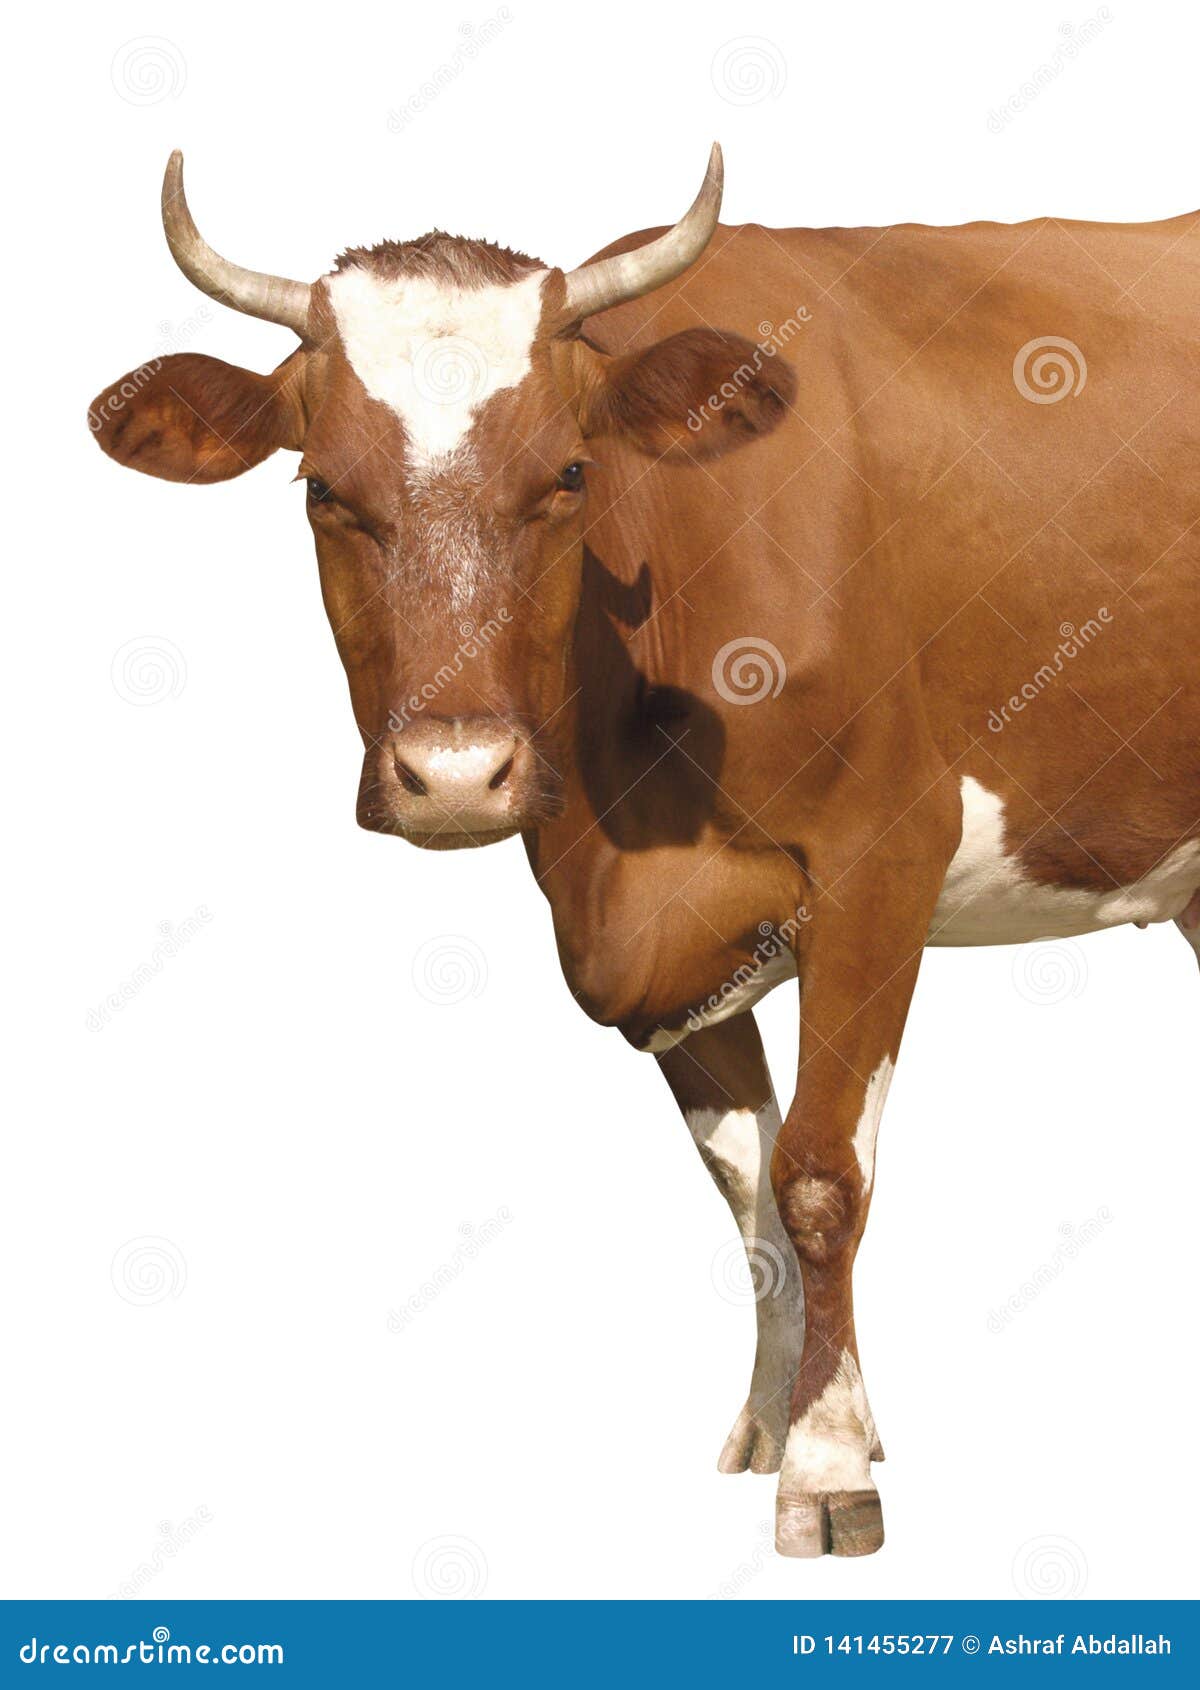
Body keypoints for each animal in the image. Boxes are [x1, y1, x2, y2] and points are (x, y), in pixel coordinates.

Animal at [90, 147, 1199, 1558]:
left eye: (571, 474)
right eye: (321, 489)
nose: (458, 774)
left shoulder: (885, 858)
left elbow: (821, 1176)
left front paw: (829, 1469)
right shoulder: (653, 941)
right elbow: (750, 1195)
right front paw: (782, 1420)